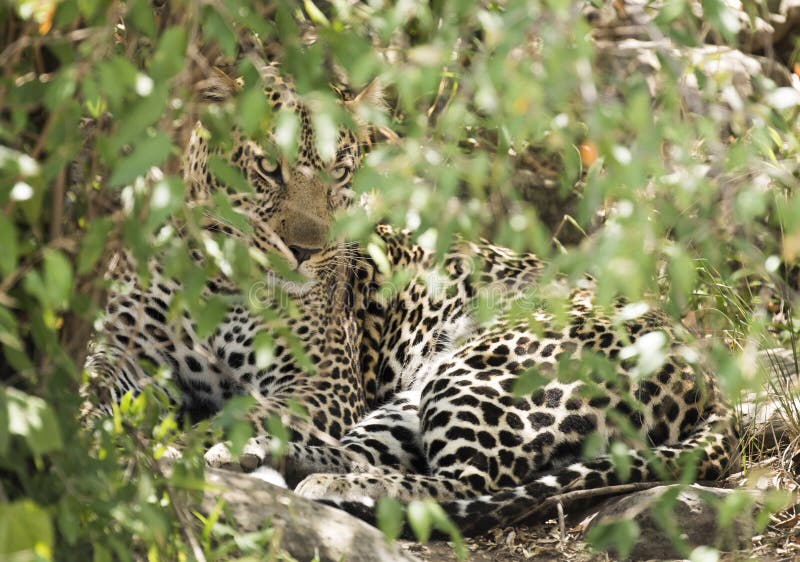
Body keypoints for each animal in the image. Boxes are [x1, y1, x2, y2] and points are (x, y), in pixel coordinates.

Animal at [82, 61, 737, 537]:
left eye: (340, 173)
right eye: (267, 167)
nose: (306, 251)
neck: (220, 279)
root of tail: (701, 360)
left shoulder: (320, 386)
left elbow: (250, 409)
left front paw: (181, 445)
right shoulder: (124, 351)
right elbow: (90, 385)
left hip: (487, 370)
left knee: (463, 484)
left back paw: (319, 486)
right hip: (410, 398)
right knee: (358, 453)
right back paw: (268, 464)